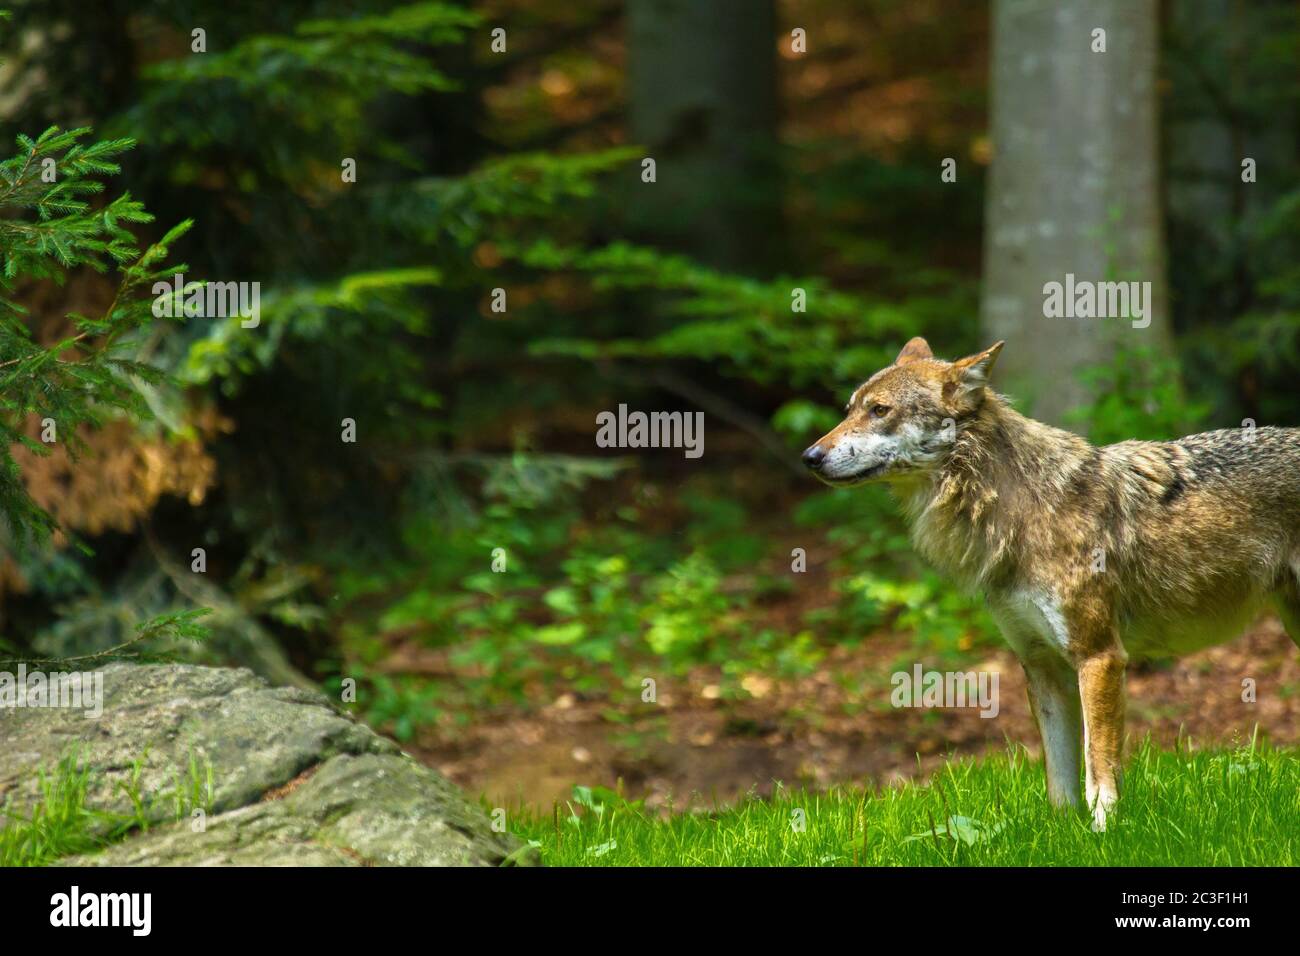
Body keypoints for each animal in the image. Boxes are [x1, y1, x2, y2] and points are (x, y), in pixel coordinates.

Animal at [801, 337, 1300, 828]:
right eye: (850, 409)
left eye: (879, 410)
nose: (810, 457)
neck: (1017, 512)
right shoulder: (1041, 666)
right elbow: (1060, 781)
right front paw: (1066, 835)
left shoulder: (1099, 657)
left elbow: (1098, 771)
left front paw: (1104, 834)